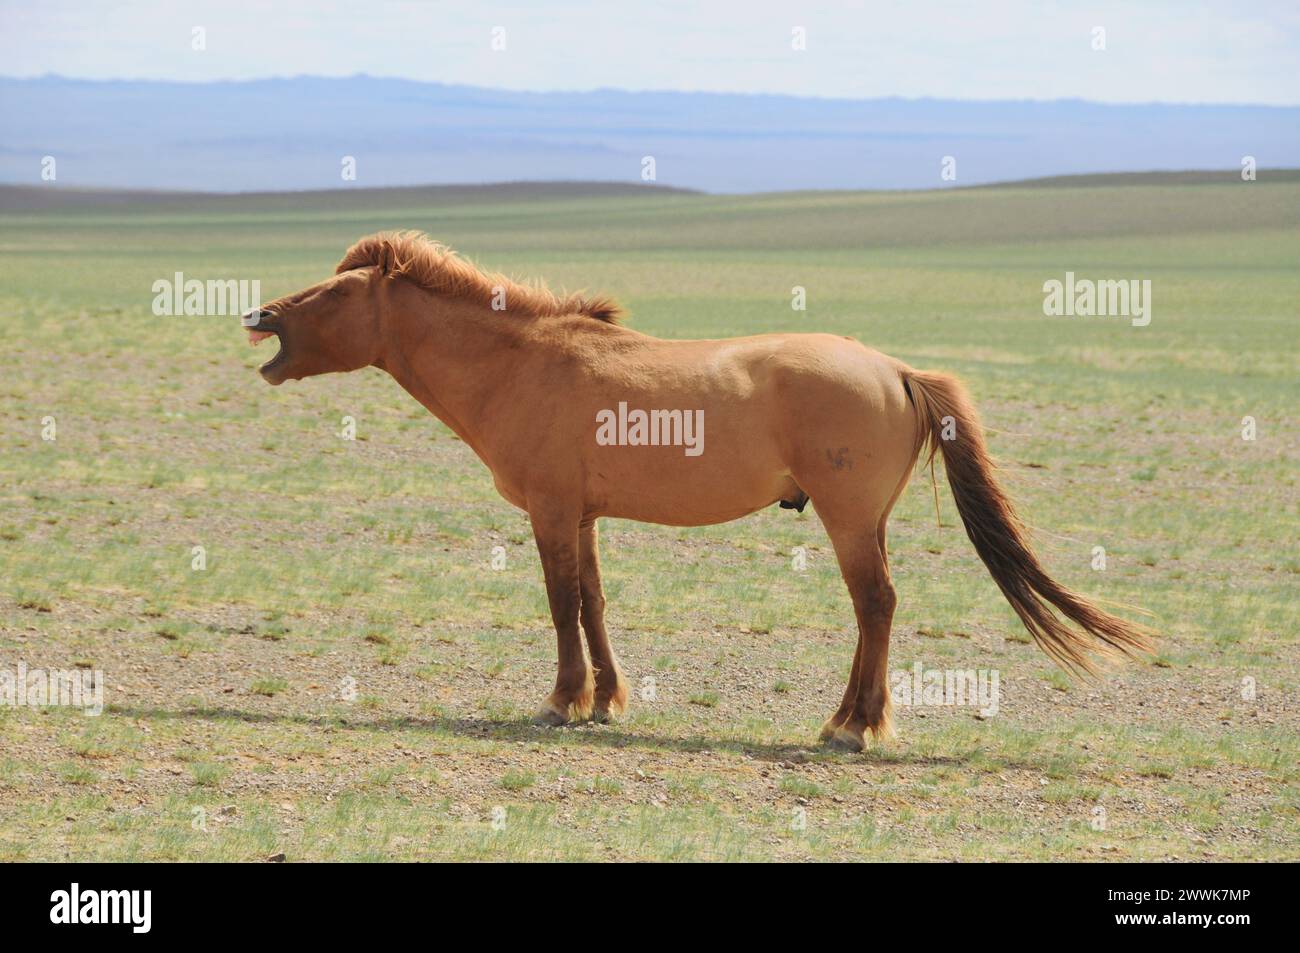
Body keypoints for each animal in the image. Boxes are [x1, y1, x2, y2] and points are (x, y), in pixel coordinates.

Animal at [241, 231, 1151, 751]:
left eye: (334, 291)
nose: (258, 314)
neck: (520, 361)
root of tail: (895, 369)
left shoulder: (549, 513)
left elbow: (559, 603)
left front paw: (562, 701)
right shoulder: (583, 515)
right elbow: (594, 603)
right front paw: (607, 701)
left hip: (849, 521)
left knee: (876, 604)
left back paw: (850, 726)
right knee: (877, 608)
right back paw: (851, 719)